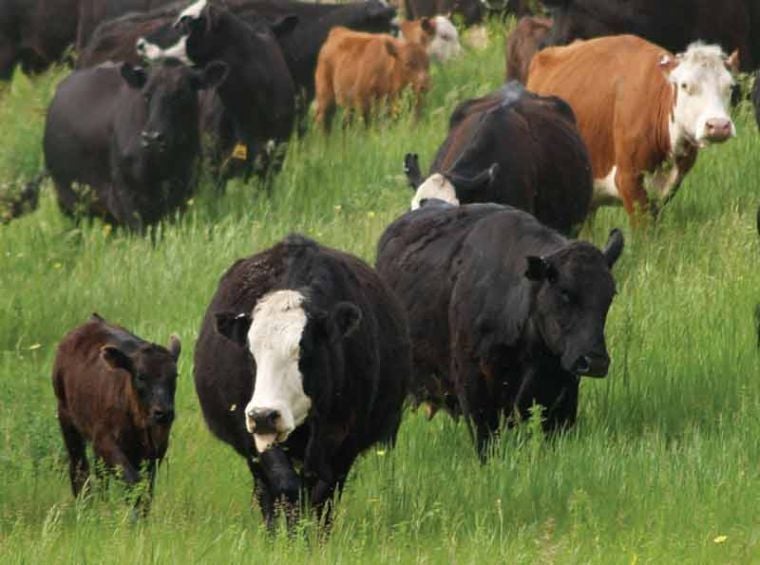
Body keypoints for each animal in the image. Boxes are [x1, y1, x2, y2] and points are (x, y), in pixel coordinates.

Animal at [44, 58, 227, 229]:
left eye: (181, 94)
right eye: (146, 95)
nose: (152, 137)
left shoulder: (184, 190)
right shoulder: (125, 194)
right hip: (68, 197)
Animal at [52, 313, 181, 511]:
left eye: (174, 375)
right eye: (140, 376)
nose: (163, 412)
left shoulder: (155, 451)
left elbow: (146, 488)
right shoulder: (106, 441)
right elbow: (133, 481)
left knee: (100, 474)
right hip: (66, 416)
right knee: (79, 465)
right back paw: (85, 504)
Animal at [194, 234, 411, 528]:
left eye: (304, 350)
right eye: (250, 354)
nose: (263, 415)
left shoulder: (344, 438)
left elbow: (322, 495)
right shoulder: (255, 436)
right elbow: (285, 488)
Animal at [376, 203, 623, 458]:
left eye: (610, 294)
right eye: (564, 292)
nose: (595, 362)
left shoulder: (563, 393)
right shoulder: (474, 388)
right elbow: (486, 442)